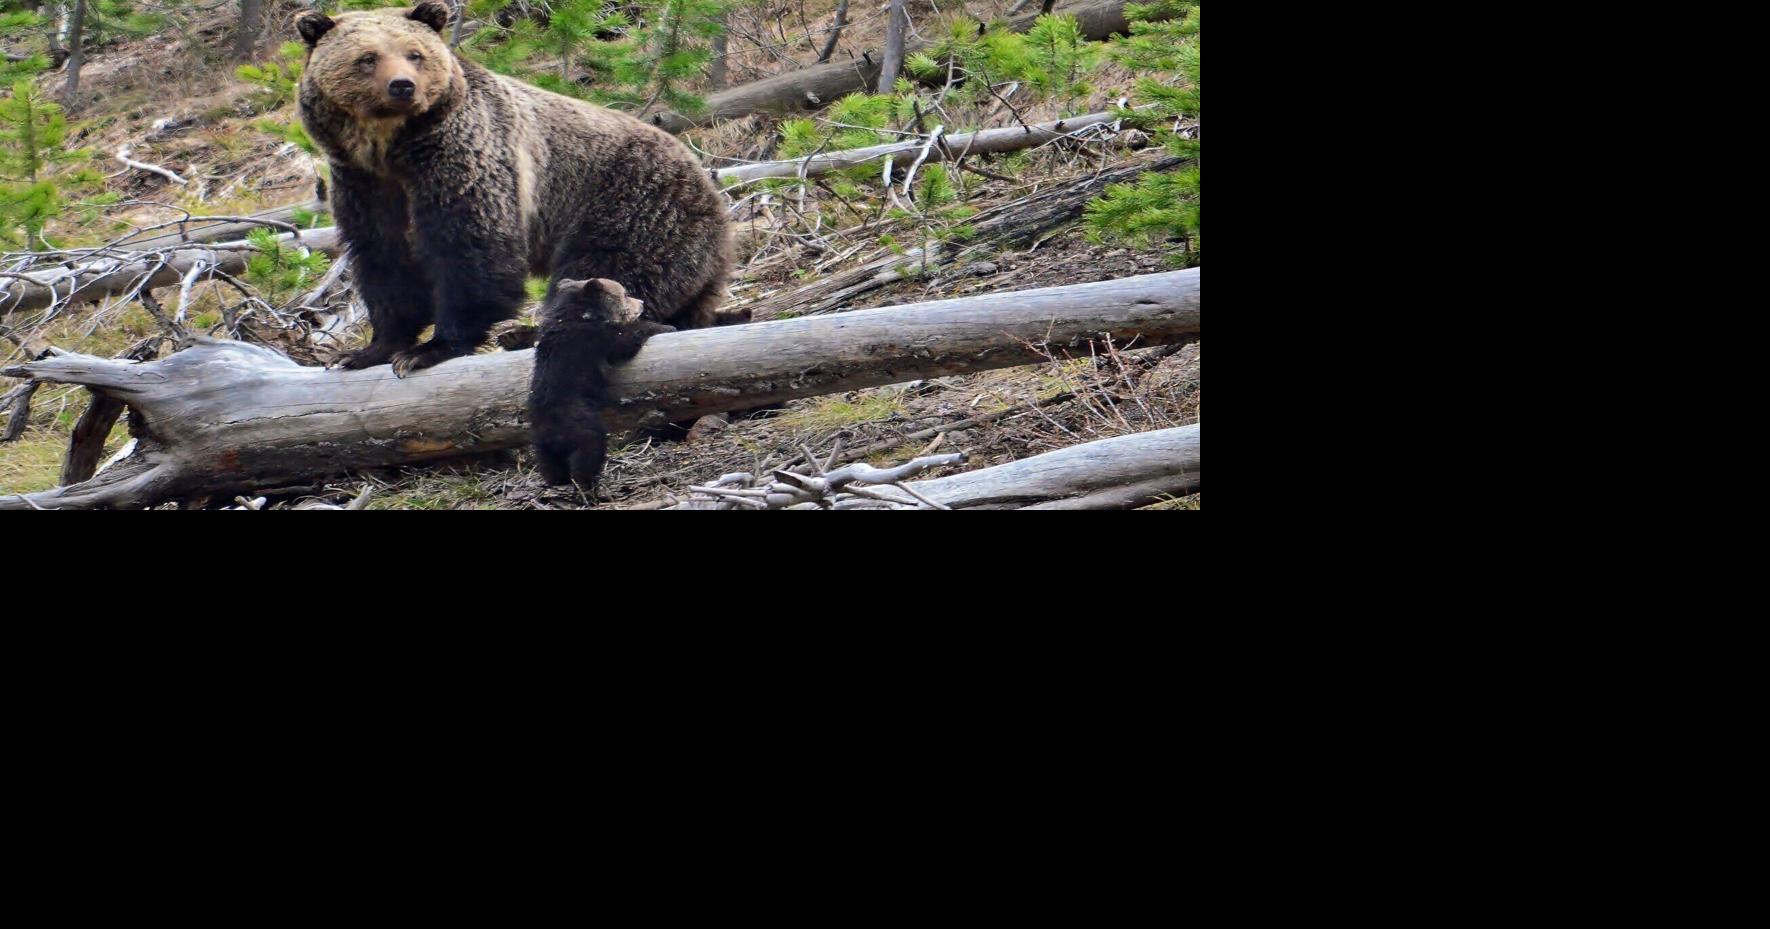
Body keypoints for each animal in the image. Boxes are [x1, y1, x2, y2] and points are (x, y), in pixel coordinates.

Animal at [293, 1, 732, 376]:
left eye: (414, 54)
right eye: (368, 58)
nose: (402, 86)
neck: (391, 149)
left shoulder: (461, 158)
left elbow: (471, 248)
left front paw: (430, 349)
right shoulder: (363, 183)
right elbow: (383, 259)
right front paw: (366, 351)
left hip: (631, 203)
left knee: (607, 271)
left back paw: (530, 332)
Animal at [527, 277, 673, 491]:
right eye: (625, 294)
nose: (641, 303)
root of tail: (551, 433)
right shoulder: (593, 339)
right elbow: (624, 342)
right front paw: (664, 326)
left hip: (540, 443)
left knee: (549, 465)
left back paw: (557, 481)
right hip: (580, 424)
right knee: (589, 452)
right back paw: (589, 486)